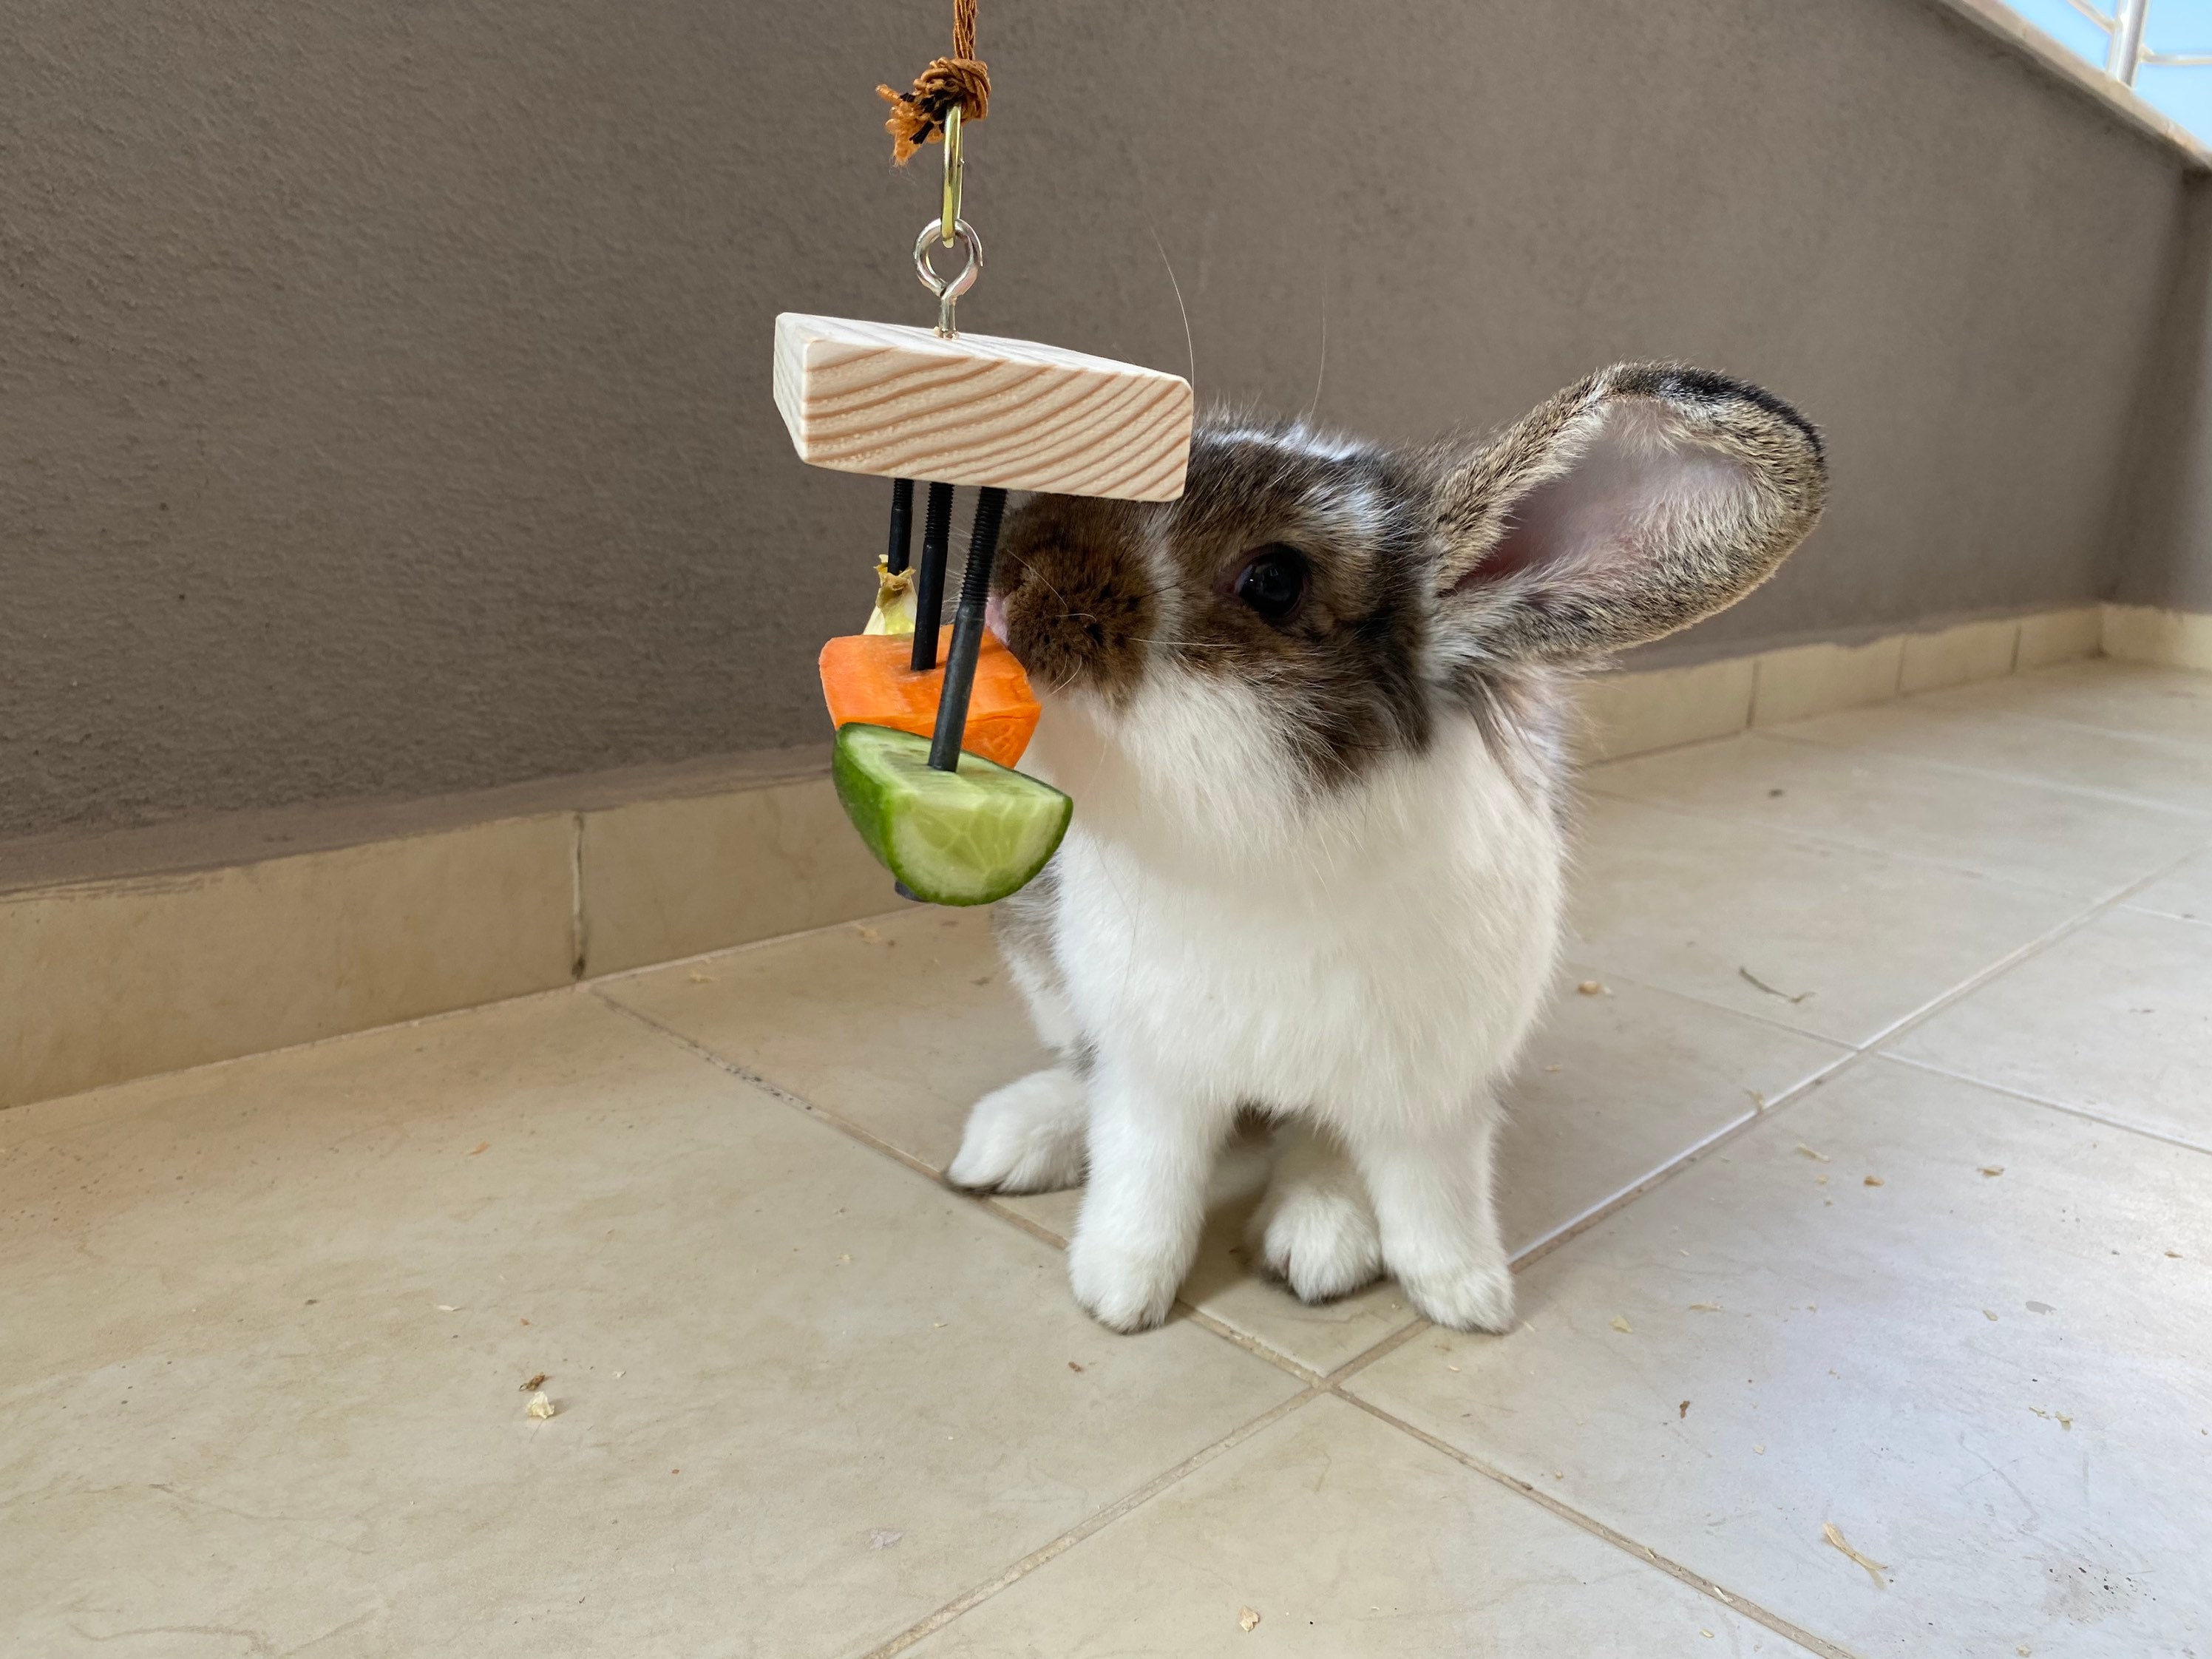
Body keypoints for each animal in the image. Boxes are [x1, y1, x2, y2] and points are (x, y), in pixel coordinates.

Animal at [948, 363, 1827, 1333]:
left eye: (1274, 581)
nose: (1001, 588)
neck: (1262, 858)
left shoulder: (1434, 1091)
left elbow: (1429, 1193)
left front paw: (1466, 1294)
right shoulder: (1155, 1071)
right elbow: (1146, 1177)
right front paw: (1119, 1290)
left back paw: (1317, 1236)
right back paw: (1011, 1140)